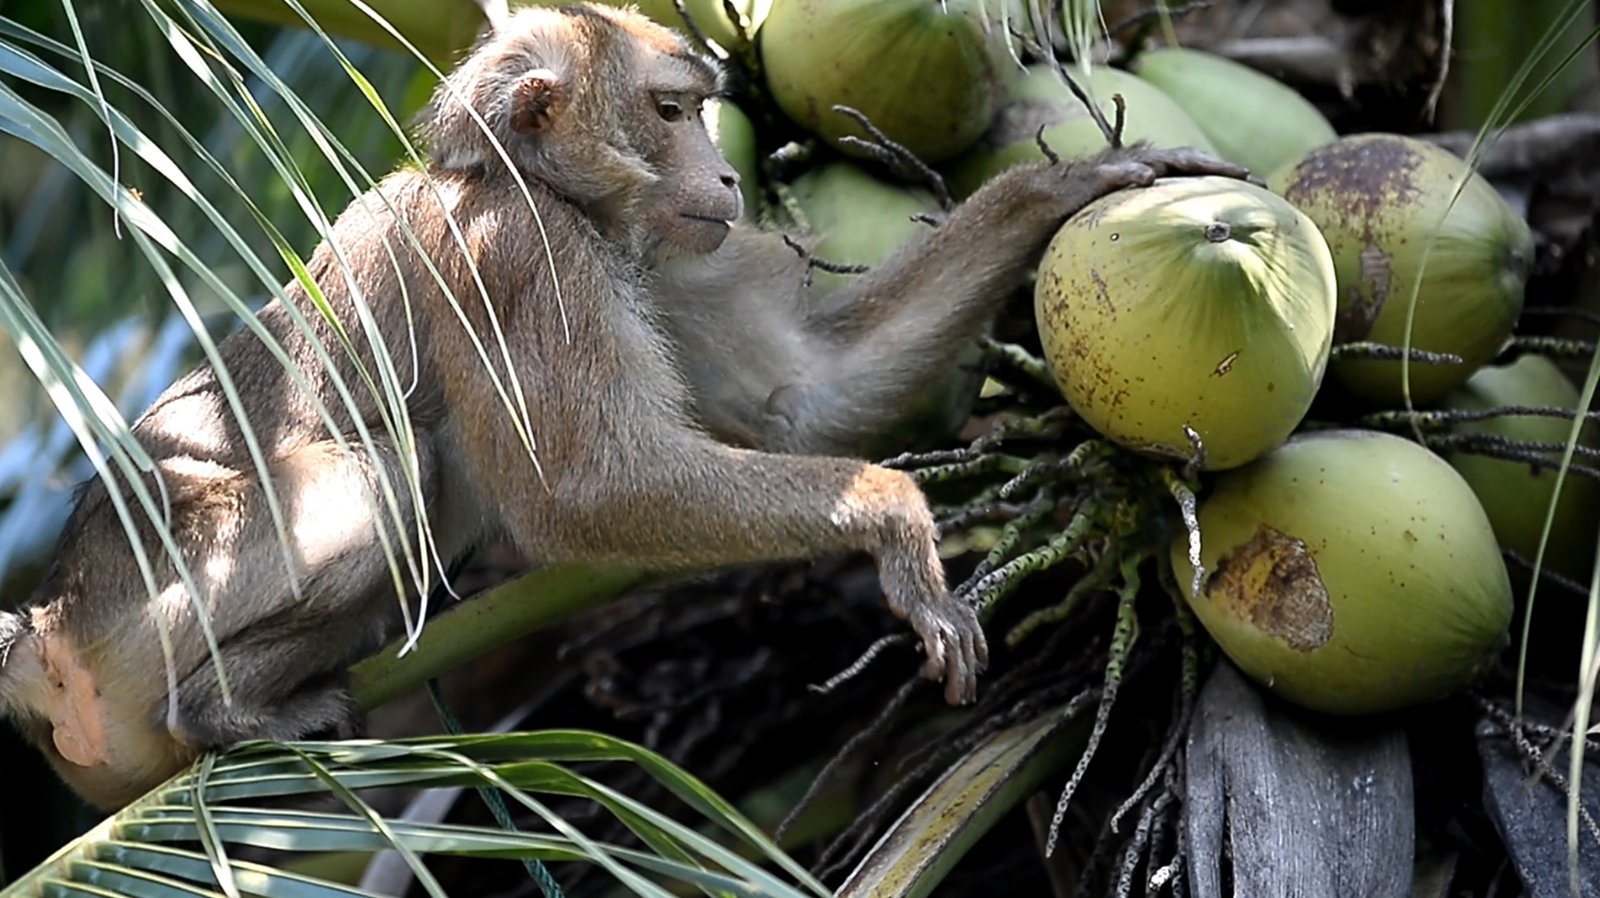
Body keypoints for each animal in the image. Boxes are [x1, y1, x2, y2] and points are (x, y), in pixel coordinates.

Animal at [0, 3, 1249, 811]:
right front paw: (897, 523)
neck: (535, 185)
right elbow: (584, 497)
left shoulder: (667, 257)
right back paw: (221, 712)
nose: (728, 174)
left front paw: (1060, 190)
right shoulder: (526, 257)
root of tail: (47, 623)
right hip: (159, 591)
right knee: (381, 480)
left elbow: (804, 399)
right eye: (672, 109)